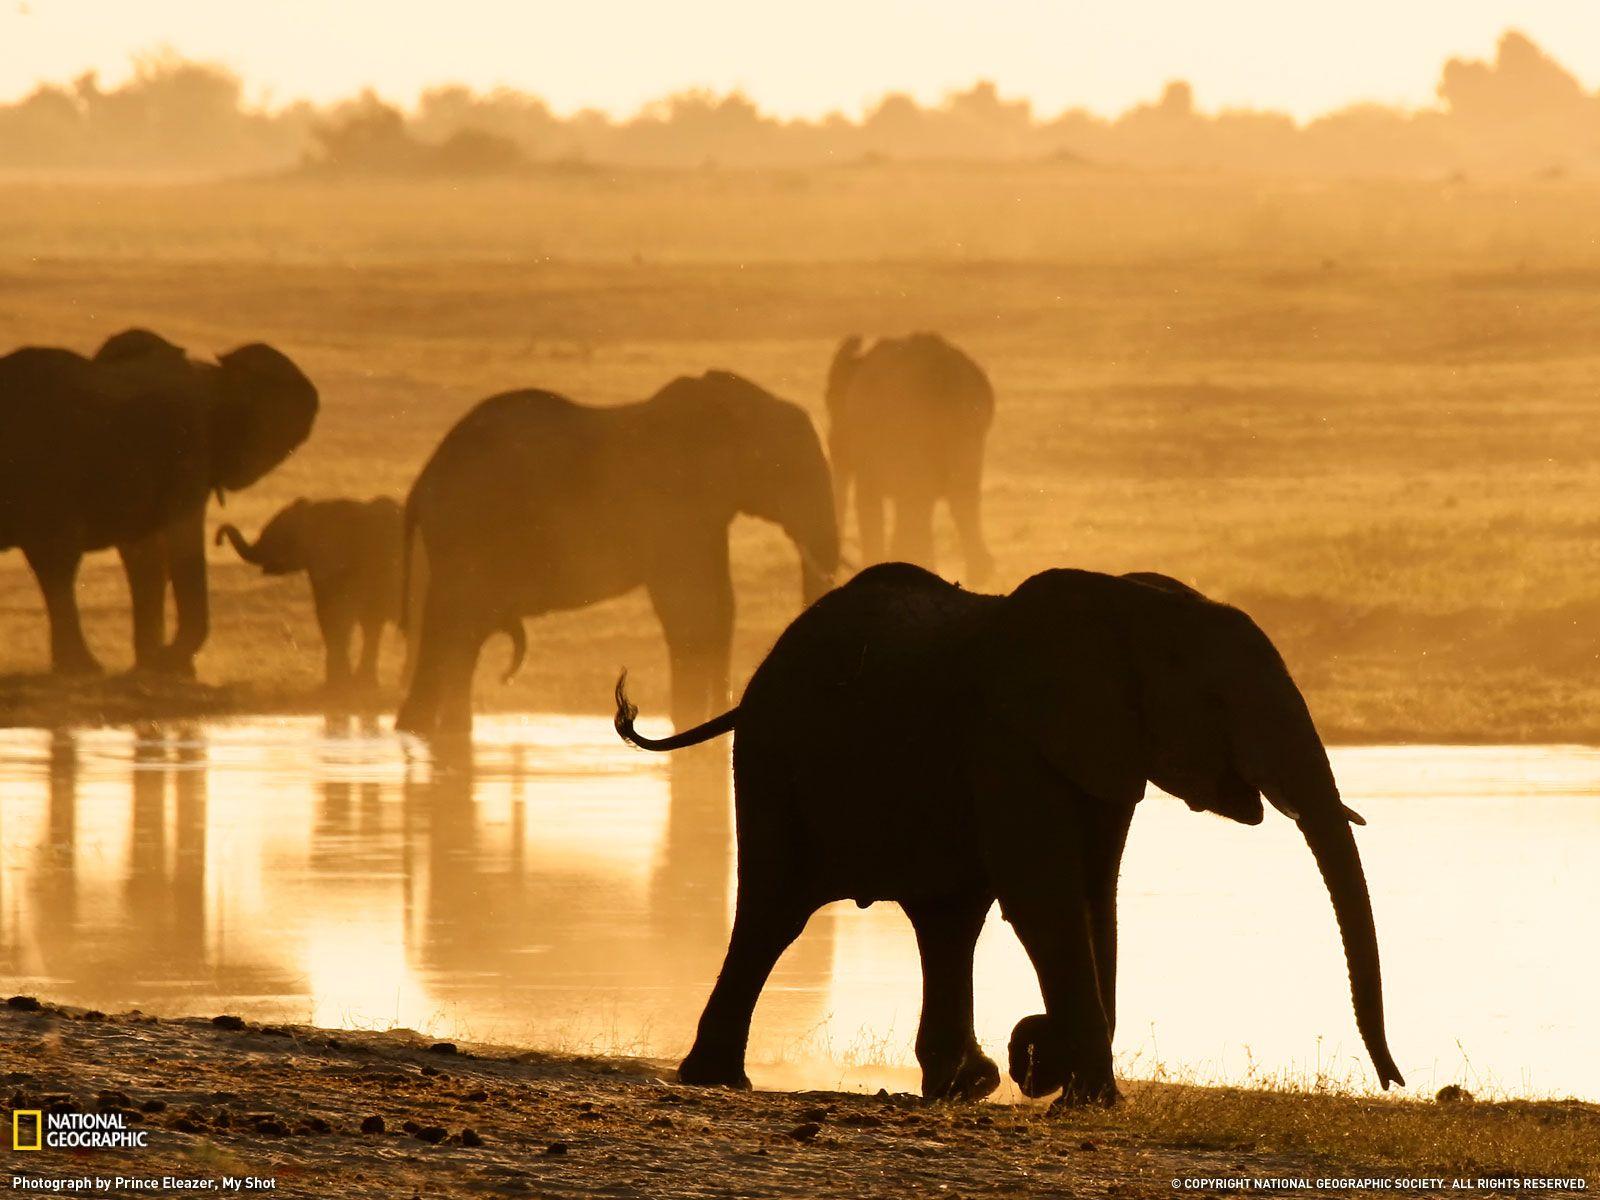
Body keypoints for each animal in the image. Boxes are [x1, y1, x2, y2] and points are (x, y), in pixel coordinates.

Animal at [0, 328, 319, 675]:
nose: (221, 536)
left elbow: (146, 555)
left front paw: (154, 666)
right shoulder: (189, 448)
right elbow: (177, 546)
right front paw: (171, 665)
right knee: (58, 562)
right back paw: (84, 668)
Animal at [216, 496, 403, 689]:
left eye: (280, 534)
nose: (218, 541)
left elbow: (352, 619)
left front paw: (353, 686)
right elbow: (331, 618)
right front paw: (337, 685)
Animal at [394, 370, 839, 741]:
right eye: (792, 471)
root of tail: (423, 481)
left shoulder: (706, 516)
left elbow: (720, 607)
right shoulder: (671, 502)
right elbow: (691, 610)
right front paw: (691, 721)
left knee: (463, 637)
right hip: (465, 533)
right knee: (453, 629)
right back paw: (419, 734)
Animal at [614, 563, 1404, 1105]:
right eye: (1219, 702)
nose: (1395, 1080)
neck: (1131, 608)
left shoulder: (1103, 752)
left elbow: (1091, 899)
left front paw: (1063, 1082)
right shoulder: (1010, 739)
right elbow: (1047, 900)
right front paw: (1084, 1093)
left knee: (948, 921)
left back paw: (963, 1085)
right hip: (773, 761)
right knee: (775, 911)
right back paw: (719, 1081)